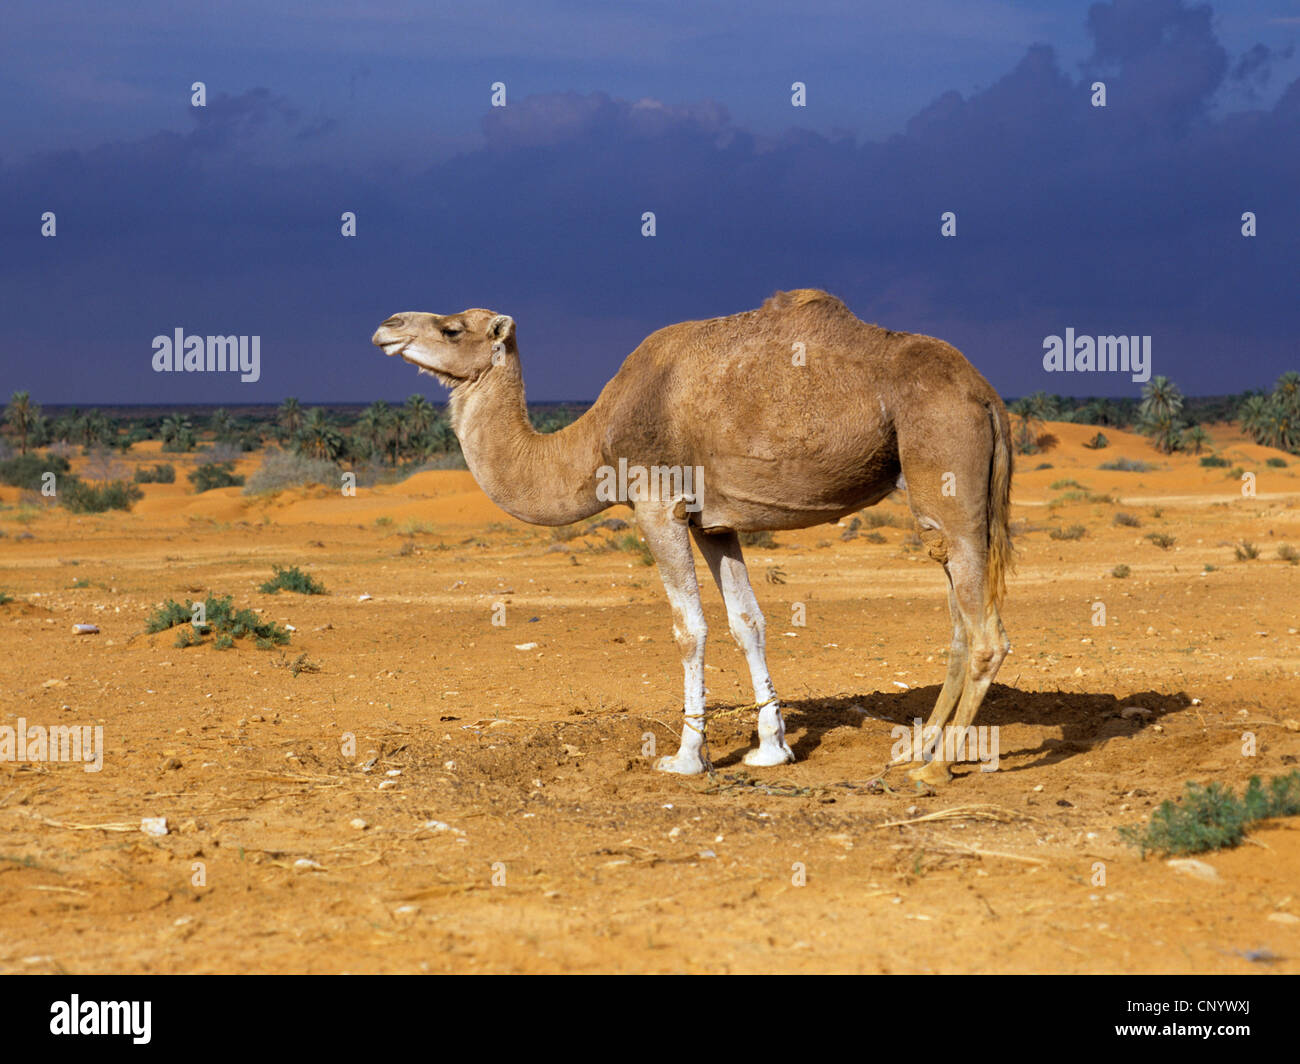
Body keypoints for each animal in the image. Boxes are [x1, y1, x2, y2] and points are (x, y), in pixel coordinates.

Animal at [372, 290, 1013, 784]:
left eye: (452, 327)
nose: (388, 325)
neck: (594, 443)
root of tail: (987, 394)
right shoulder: (715, 523)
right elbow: (747, 621)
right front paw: (771, 750)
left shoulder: (657, 502)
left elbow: (690, 629)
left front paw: (685, 758)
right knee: (959, 620)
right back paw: (918, 748)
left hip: (943, 458)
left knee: (986, 632)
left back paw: (937, 767)